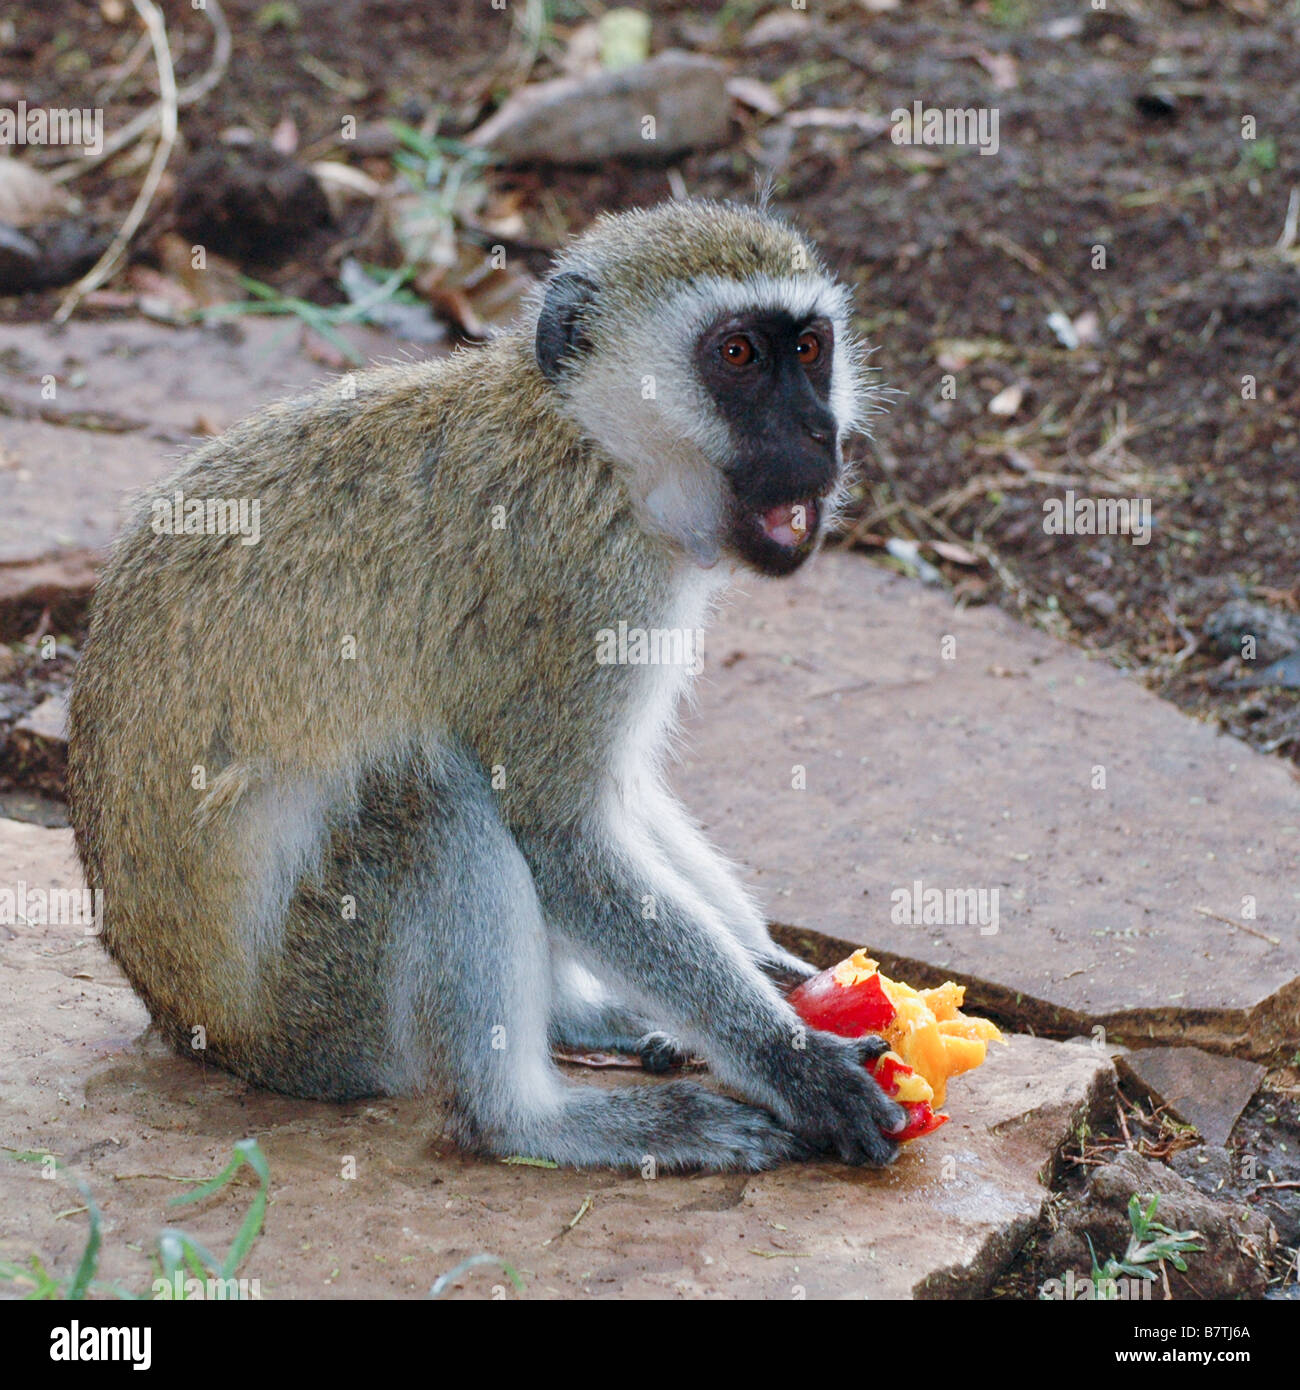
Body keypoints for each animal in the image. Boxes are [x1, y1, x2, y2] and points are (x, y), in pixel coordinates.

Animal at [68, 198, 905, 1173]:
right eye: (737, 355)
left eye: (809, 349)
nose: (820, 434)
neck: (590, 443)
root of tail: (191, 1027)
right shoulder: (583, 584)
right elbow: (558, 833)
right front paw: (793, 1063)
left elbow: (622, 794)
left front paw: (777, 971)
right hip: (321, 1012)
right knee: (426, 797)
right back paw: (532, 1119)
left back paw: (587, 1017)